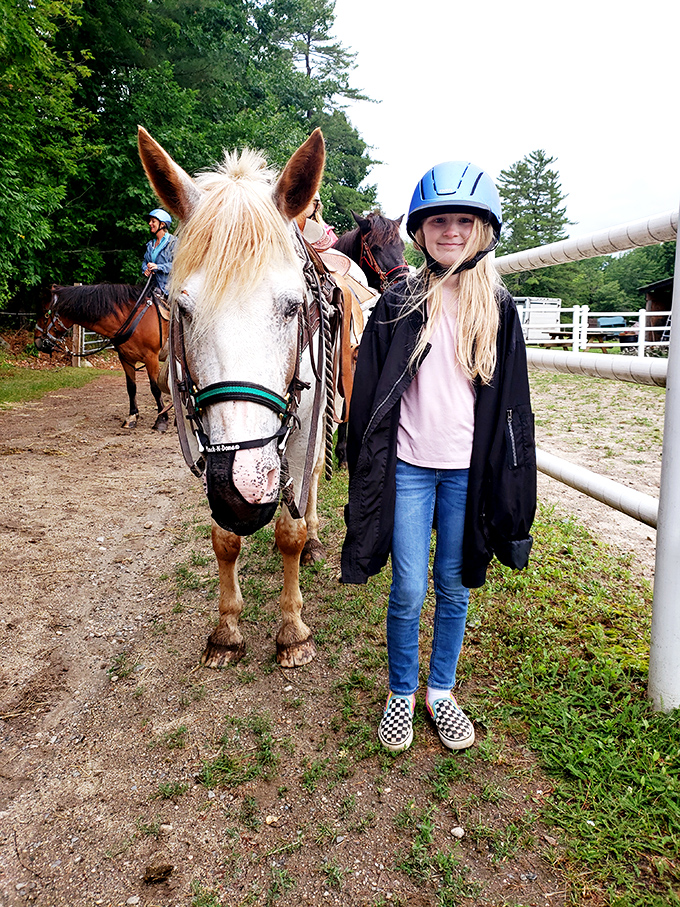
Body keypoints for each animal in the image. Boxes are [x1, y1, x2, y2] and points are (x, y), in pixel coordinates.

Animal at [34, 282, 170, 431]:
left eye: (44, 314)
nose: (37, 342)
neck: (135, 319)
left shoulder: (151, 357)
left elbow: (155, 388)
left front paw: (162, 419)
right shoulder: (126, 359)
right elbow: (131, 387)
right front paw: (132, 417)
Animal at [137, 124, 331, 669]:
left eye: (293, 307)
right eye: (182, 309)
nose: (240, 492)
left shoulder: (300, 430)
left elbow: (288, 531)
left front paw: (292, 630)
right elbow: (223, 539)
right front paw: (226, 630)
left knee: (310, 482)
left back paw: (313, 535)